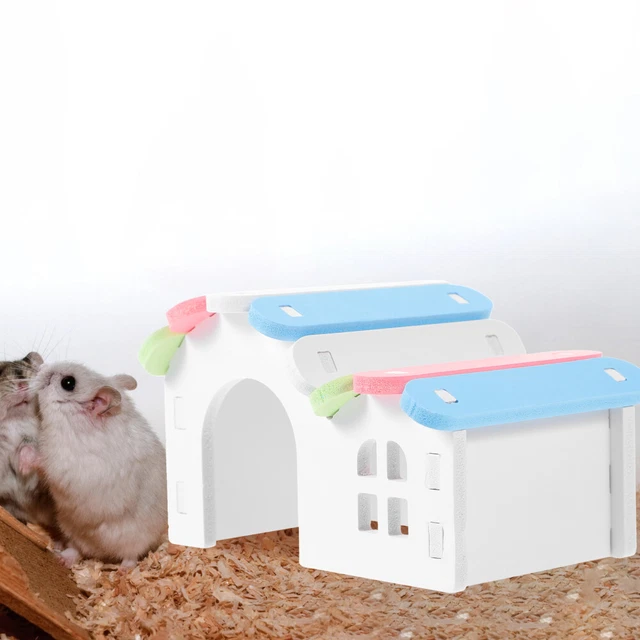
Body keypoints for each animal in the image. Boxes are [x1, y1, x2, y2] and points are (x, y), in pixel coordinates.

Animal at [21, 361, 168, 568]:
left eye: (68, 383)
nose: (41, 366)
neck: (73, 423)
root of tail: (102, 552)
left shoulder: (63, 464)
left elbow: (41, 460)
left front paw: (22, 462)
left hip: (136, 538)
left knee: (131, 555)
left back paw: (124, 570)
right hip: (71, 528)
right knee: (75, 549)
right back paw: (61, 557)